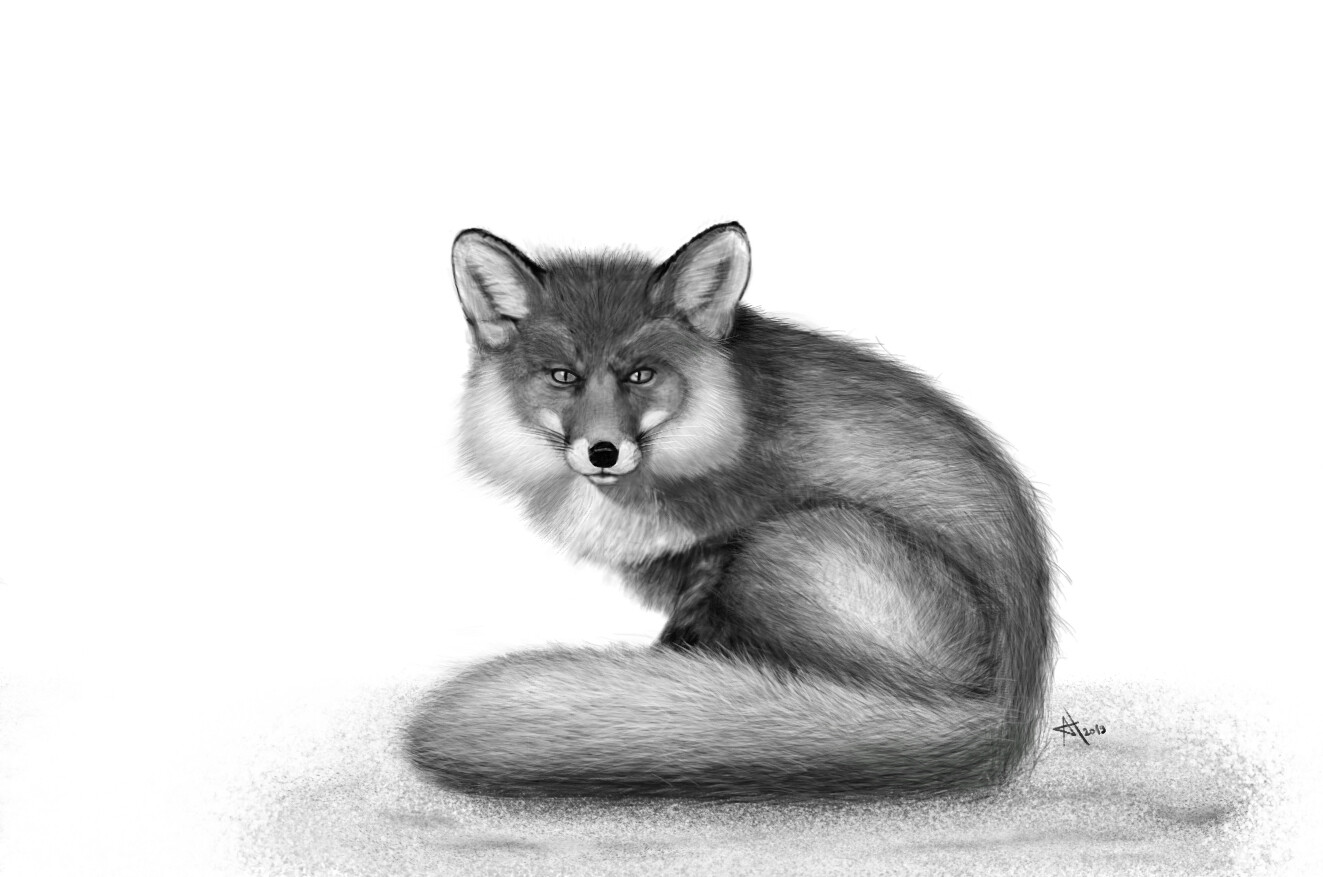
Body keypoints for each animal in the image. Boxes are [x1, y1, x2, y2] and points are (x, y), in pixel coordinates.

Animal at [407, 222, 1056, 800]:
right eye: (563, 376)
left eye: (641, 374)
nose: (603, 452)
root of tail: (1014, 711)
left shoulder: (717, 558)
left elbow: (683, 635)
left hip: (791, 544)